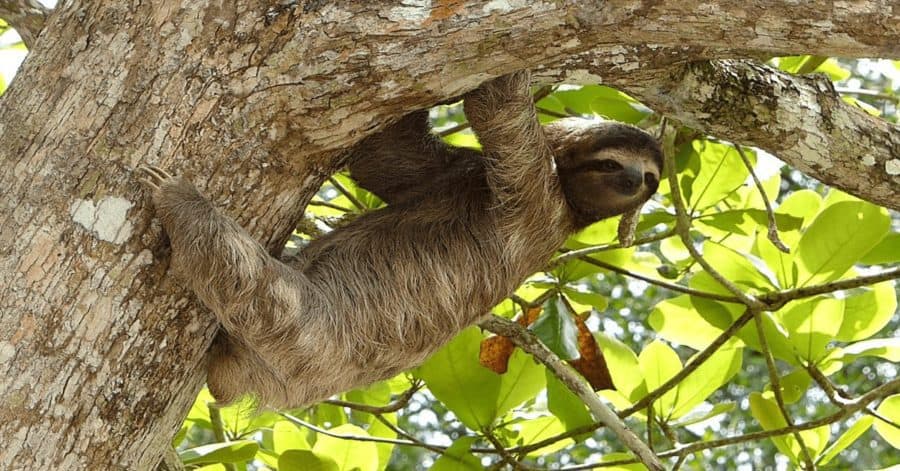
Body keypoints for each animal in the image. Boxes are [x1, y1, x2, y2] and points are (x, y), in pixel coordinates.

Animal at [138, 71, 663, 409]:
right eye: (613, 163)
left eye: (650, 178)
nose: (633, 181)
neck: (569, 206)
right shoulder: (460, 168)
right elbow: (385, 158)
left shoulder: (535, 197)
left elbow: (499, 115)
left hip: (307, 339)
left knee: (255, 281)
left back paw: (182, 202)